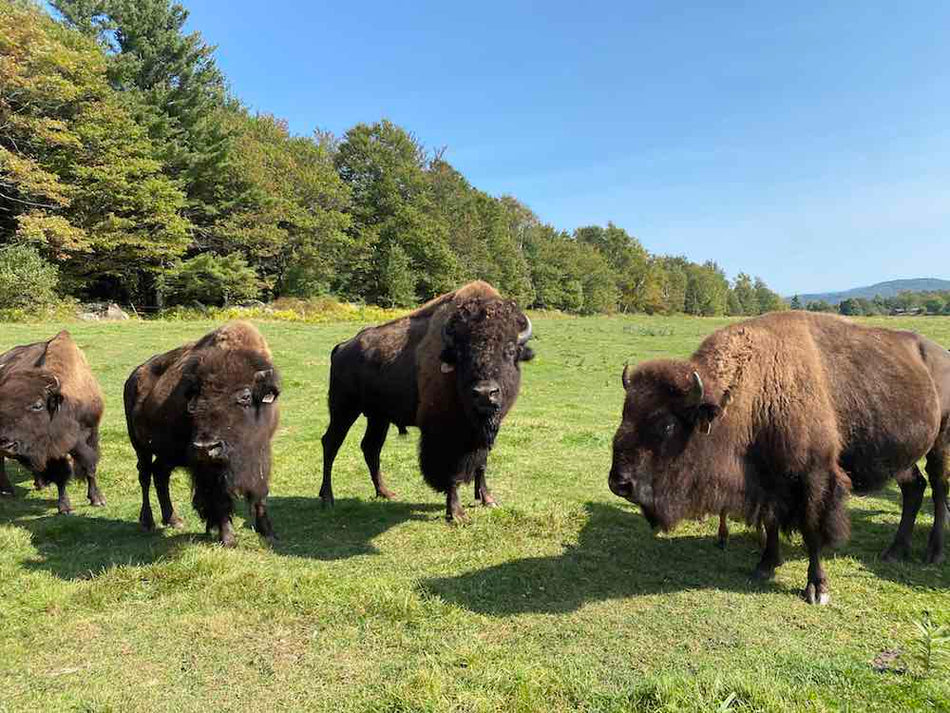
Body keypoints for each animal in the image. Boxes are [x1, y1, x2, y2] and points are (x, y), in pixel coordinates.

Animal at [0, 331, 106, 513]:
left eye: (38, 405)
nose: (7, 444)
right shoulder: (54, 448)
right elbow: (61, 475)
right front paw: (64, 507)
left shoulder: (91, 434)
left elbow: (90, 466)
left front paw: (97, 499)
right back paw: (7, 490)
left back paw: (39, 483)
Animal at [124, 321, 281, 546]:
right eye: (194, 400)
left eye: (245, 396)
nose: (206, 446)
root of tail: (133, 377)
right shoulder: (209, 466)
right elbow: (219, 498)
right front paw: (228, 538)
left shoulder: (260, 451)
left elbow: (260, 493)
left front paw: (269, 534)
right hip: (139, 445)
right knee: (145, 475)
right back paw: (148, 522)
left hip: (168, 453)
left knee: (160, 474)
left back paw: (174, 520)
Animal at [320, 281, 534, 522]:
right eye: (460, 353)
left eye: (510, 350)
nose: (485, 393)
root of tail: (342, 347)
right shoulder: (444, 434)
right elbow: (451, 472)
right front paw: (456, 514)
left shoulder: (483, 433)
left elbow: (481, 464)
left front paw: (488, 500)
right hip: (343, 409)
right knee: (331, 443)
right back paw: (328, 499)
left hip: (378, 417)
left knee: (370, 448)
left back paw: (386, 493)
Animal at [609, 311, 949, 605]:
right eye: (625, 413)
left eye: (667, 424)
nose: (619, 483)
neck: (755, 389)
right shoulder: (769, 480)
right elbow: (771, 522)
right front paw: (765, 565)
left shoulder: (815, 476)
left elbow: (812, 529)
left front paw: (817, 589)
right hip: (903, 456)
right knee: (914, 488)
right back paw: (894, 551)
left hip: (941, 442)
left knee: (938, 488)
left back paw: (933, 553)